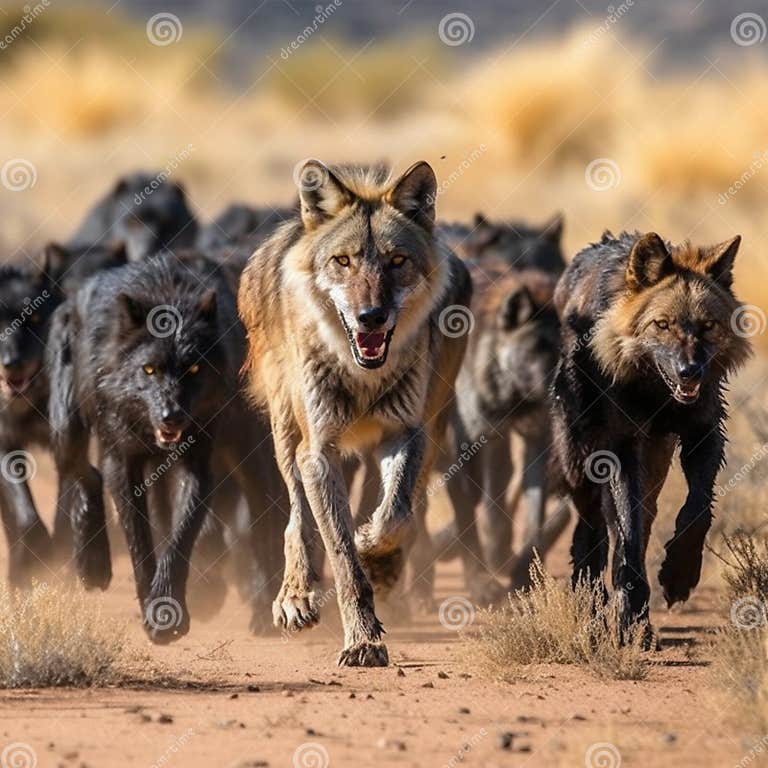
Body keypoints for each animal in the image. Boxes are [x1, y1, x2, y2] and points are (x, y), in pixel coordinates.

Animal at [47, 253, 284, 642]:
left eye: (194, 368)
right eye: (149, 369)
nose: (172, 417)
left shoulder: (197, 466)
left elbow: (180, 538)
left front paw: (168, 612)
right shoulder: (123, 463)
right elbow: (140, 541)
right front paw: (154, 606)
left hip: (249, 457)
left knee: (266, 519)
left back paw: (264, 612)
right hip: (65, 429)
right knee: (85, 472)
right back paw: (92, 563)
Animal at [238, 160, 470, 666]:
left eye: (397, 261)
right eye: (343, 261)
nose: (371, 317)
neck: (361, 374)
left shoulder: (406, 433)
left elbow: (395, 515)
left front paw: (374, 554)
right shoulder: (319, 451)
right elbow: (340, 554)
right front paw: (363, 639)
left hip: (433, 424)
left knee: (404, 504)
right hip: (287, 434)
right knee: (296, 517)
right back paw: (295, 596)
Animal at [551, 230, 751, 636]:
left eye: (708, 326)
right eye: (662, 324)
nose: (690, 371)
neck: (657, 394)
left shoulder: (704, 435)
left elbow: (696, 512)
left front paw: (677, 576)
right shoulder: (620, 447)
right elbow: (627, 531)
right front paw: (628, 610)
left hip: (655, 459)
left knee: (638, 520)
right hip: (581, 460)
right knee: (592, 528)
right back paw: (593, 606)